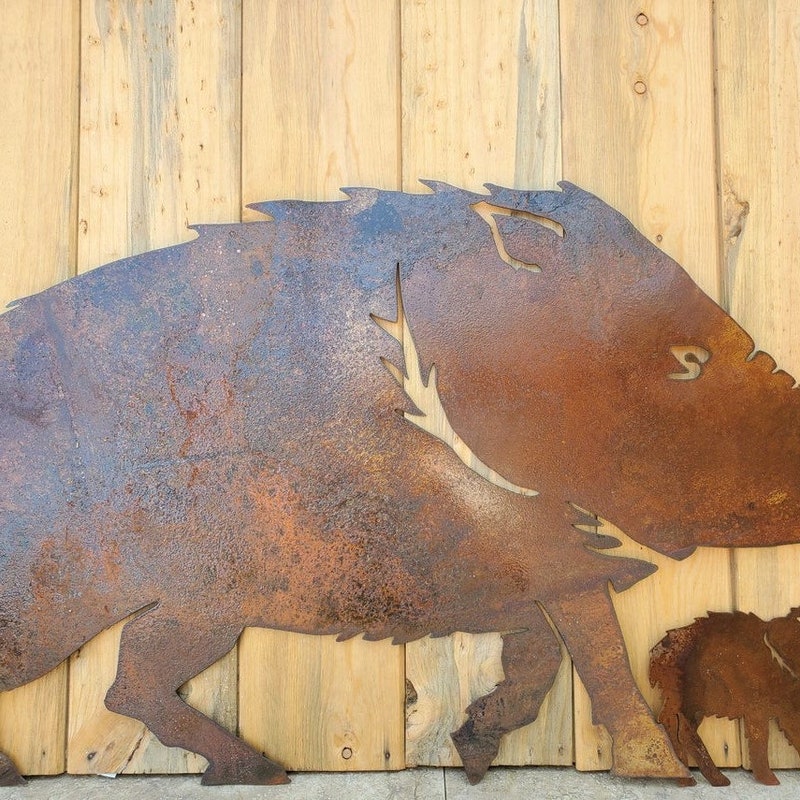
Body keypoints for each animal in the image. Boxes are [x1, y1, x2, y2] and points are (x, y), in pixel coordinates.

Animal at [650, 609, 800, 786]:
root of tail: (655, 655)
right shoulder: (756, 712)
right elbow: (760, 741)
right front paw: (770, 780)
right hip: (689, 704)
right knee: (683, 733)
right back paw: (718, 779)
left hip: (685, 706)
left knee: (672, 726)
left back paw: (688, 778)